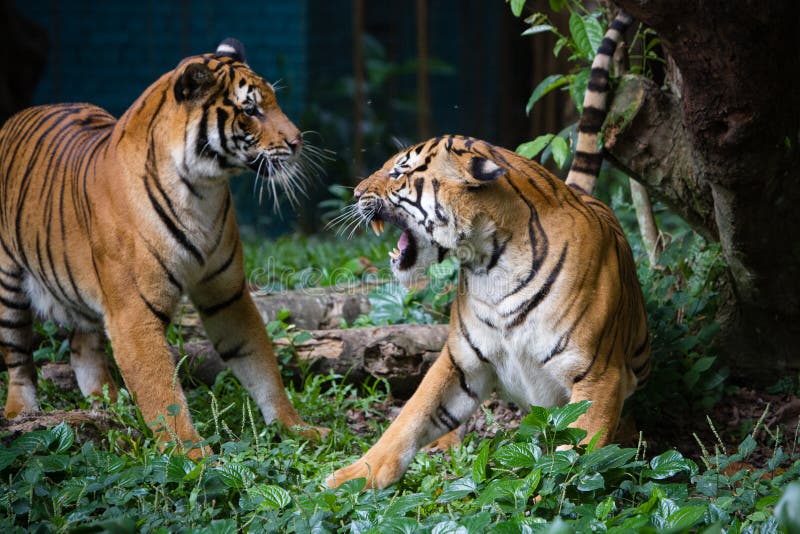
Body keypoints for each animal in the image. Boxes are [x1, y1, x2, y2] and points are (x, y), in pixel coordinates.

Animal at [0, 38, 326, 456]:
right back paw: (20, 414)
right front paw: (192, 454)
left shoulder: (228, 294)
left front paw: (296, 428)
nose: (298, 141)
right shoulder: (133, 312)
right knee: (19, 360)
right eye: (250, 109)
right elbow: (162, 391)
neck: (203, 192)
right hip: (8, 286)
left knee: (84, 351)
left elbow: (260, 362)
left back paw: (111, 405)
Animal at [328, 11, 648, 489]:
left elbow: (576, 462)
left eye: (399, 173)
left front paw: (548, 496)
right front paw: (355, 476)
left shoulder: (598, 375)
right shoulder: (460, 361)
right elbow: (410, 416)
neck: (491, 266)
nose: (355, 191)